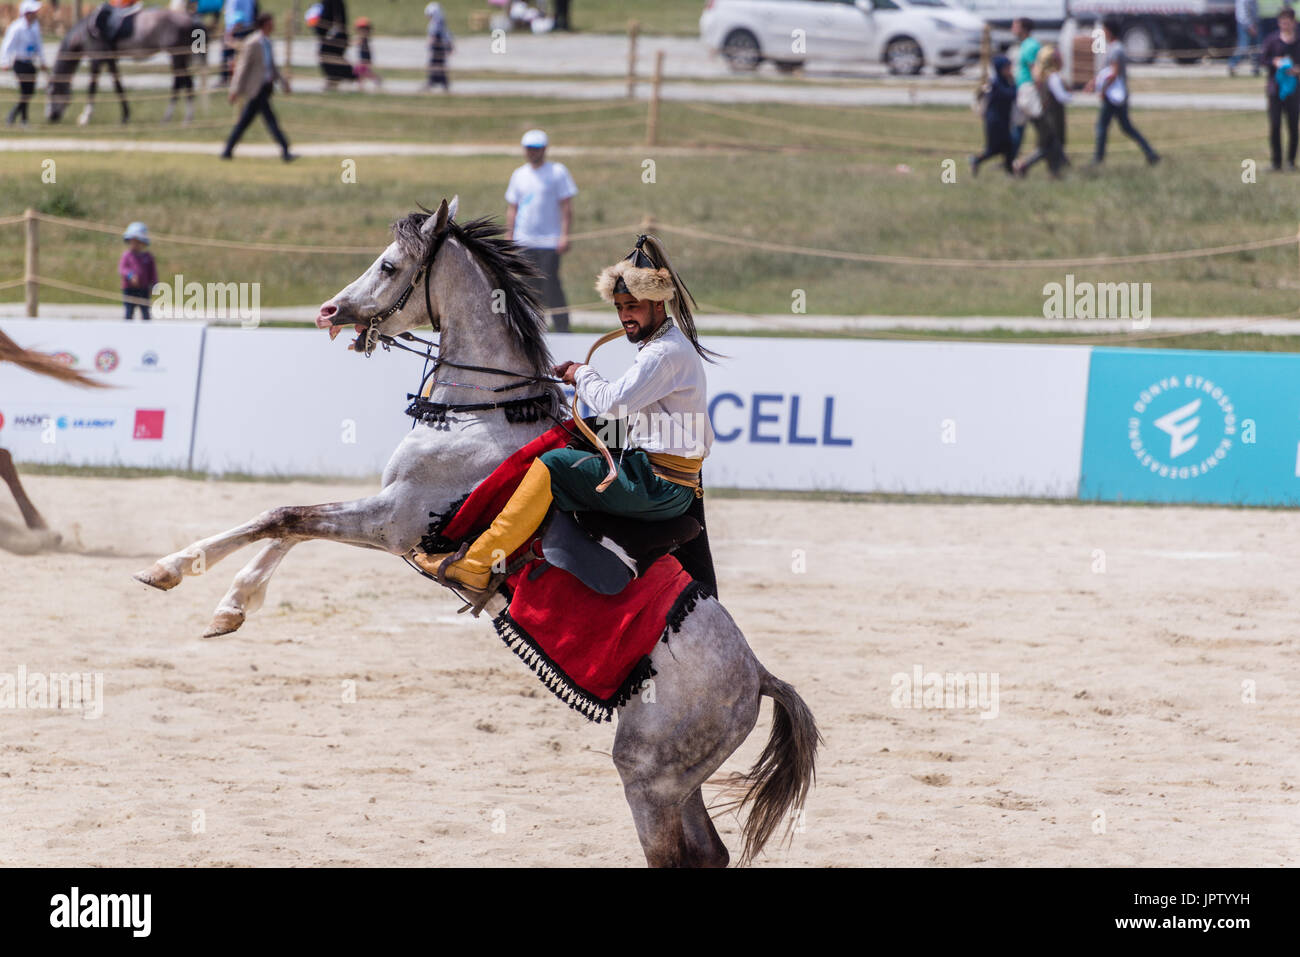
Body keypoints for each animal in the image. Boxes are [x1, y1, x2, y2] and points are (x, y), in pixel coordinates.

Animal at [46, 5, 207, 125]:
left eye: (52, 93)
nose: (50, 117)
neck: (85, 32)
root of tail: (192, 18)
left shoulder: (97, 59)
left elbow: (92, 87)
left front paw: (85, 117)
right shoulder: (110, 61)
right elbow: (118, 86)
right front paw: (125, 116)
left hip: (177, 56)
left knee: (184, 83)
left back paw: (182, 119)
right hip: (181, 57)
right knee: (183, 83)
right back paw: (174, 118)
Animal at [131, 198, 821, 867]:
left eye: (388, 266)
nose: (330, 311)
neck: (479, 414)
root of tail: (757, 676)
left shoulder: (393, 520)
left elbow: (284, 516)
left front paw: (171, 569)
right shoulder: (383, 513)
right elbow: (289, 527)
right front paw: (230, 606)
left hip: (648, 778)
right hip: (681, 781)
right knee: (710, 853)